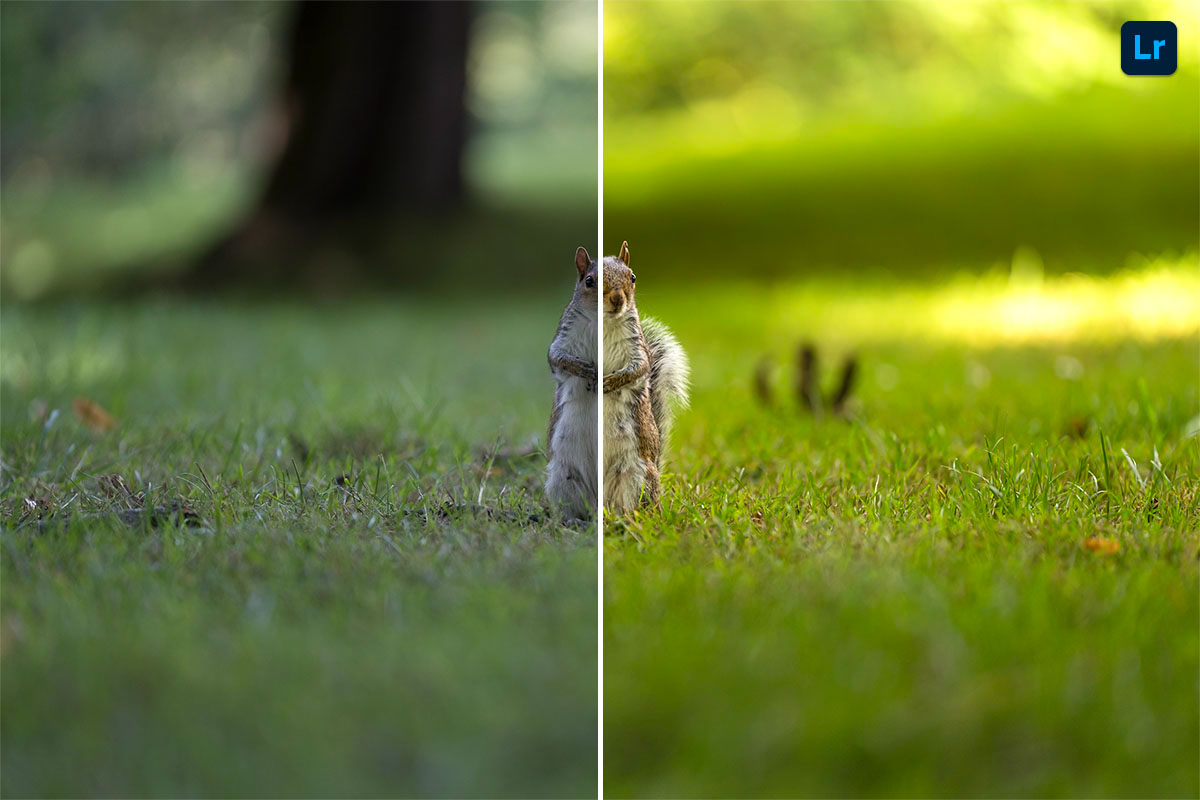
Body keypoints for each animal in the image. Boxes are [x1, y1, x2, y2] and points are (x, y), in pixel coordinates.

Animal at [603, 241, 689, 514]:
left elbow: (638, 369)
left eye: (633, 277)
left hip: (637, 475)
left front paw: (610, 382)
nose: (617, 299)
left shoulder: (637, 349)